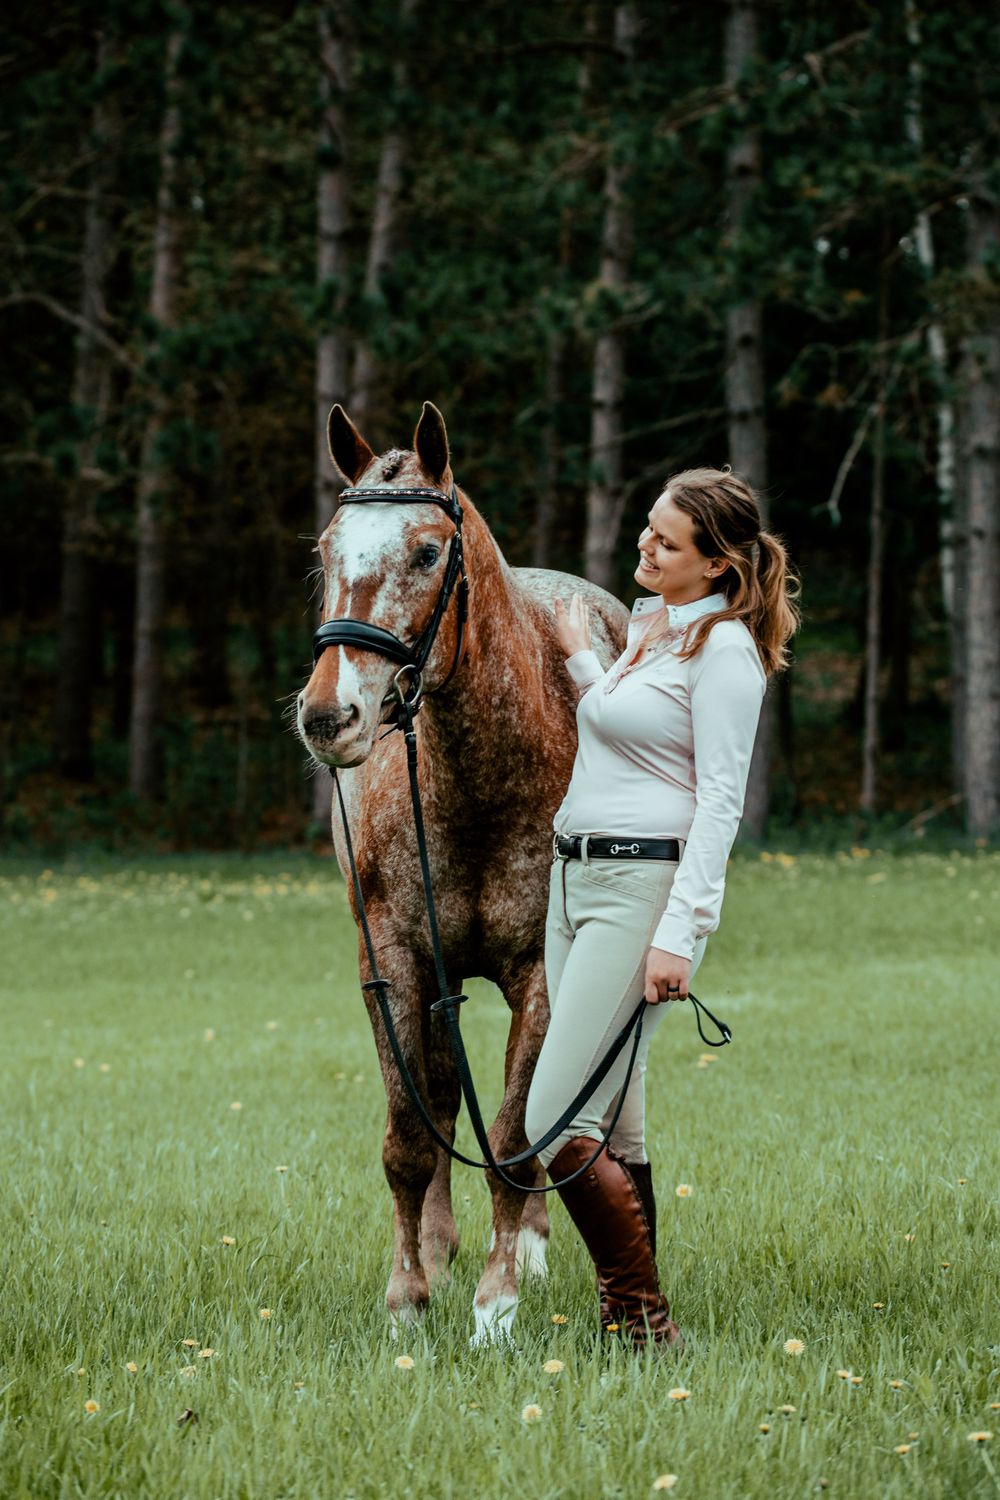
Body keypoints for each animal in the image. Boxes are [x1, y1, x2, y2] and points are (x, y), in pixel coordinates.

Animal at [297, 401, 629, 1344]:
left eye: (426, 553)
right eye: (326, 551)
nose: (329, 715)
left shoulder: (547, 972)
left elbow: (517, 1135)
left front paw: (498, 1301)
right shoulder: (397, 963)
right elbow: (413, 1134)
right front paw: (410, 1297)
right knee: (444, 1098)